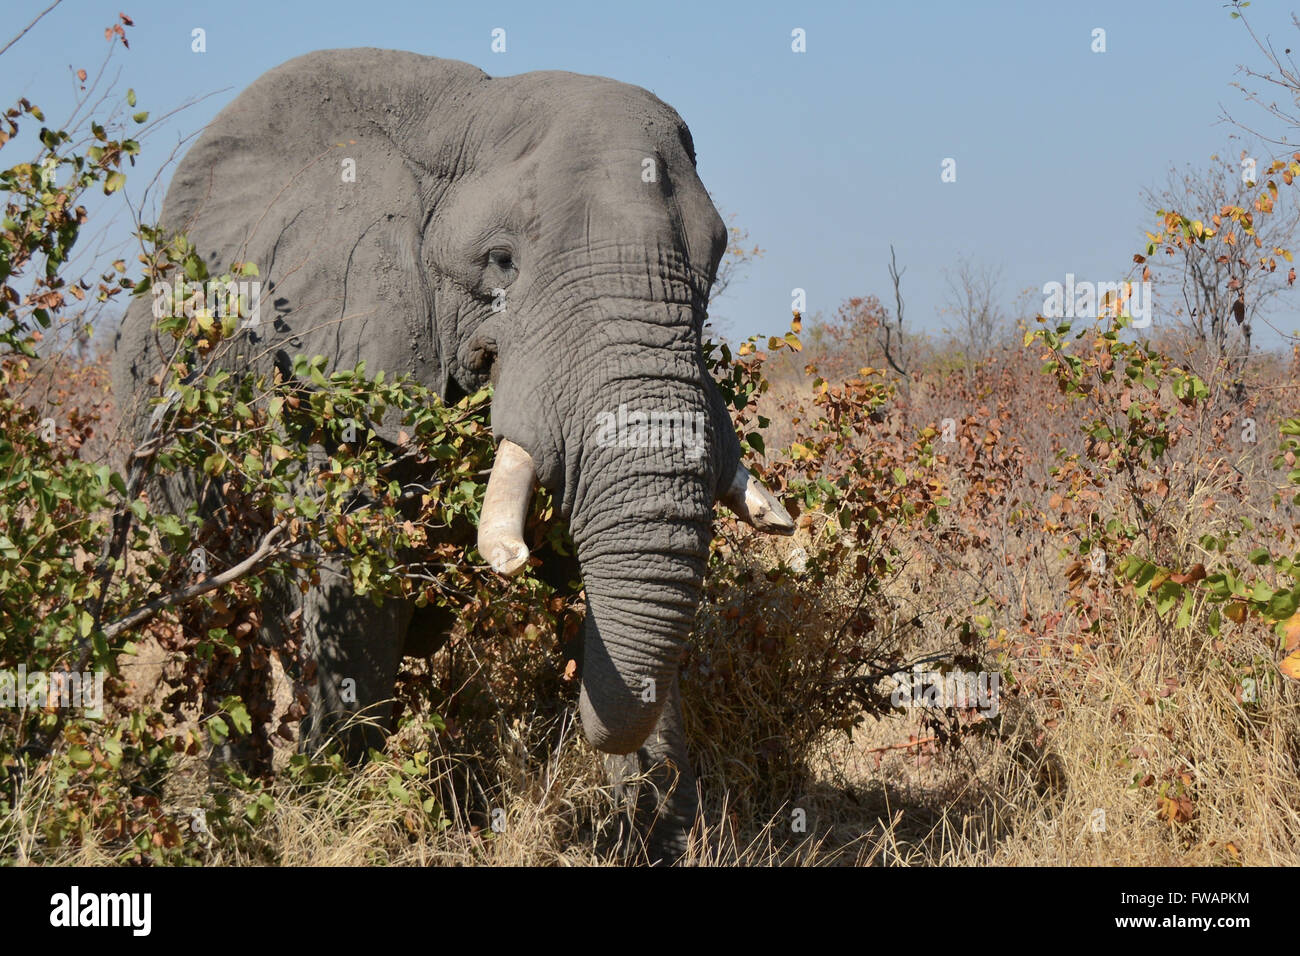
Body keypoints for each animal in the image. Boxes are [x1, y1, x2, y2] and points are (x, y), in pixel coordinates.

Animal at [111, 48, 794, 862]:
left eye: (713, 263)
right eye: (500, 262)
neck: (464, 116)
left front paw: (663, 840)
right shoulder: (329, 358)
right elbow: (358, 587)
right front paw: (323, 813)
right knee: (215, 607)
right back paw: (236, 807)